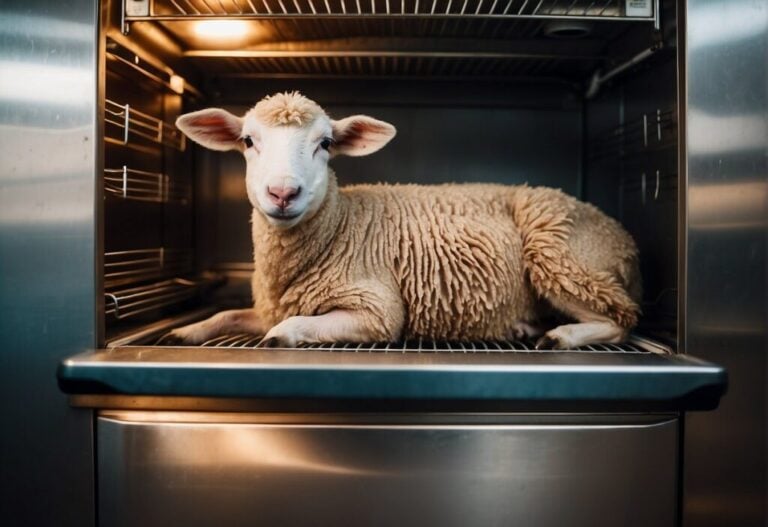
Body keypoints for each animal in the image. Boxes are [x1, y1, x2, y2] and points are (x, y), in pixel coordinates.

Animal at [166, 91, 641, 350]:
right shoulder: (268, 306)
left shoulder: (377, 310)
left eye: (325, 143)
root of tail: (623, 238)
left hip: (561, 255)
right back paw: (527, 325)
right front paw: (186, 331)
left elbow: (290, 327)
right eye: (248, 140)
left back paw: (562, 336)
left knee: (622, 321)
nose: (283, 193)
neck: (340, 225)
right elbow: (226, 316)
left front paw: (280, 336)